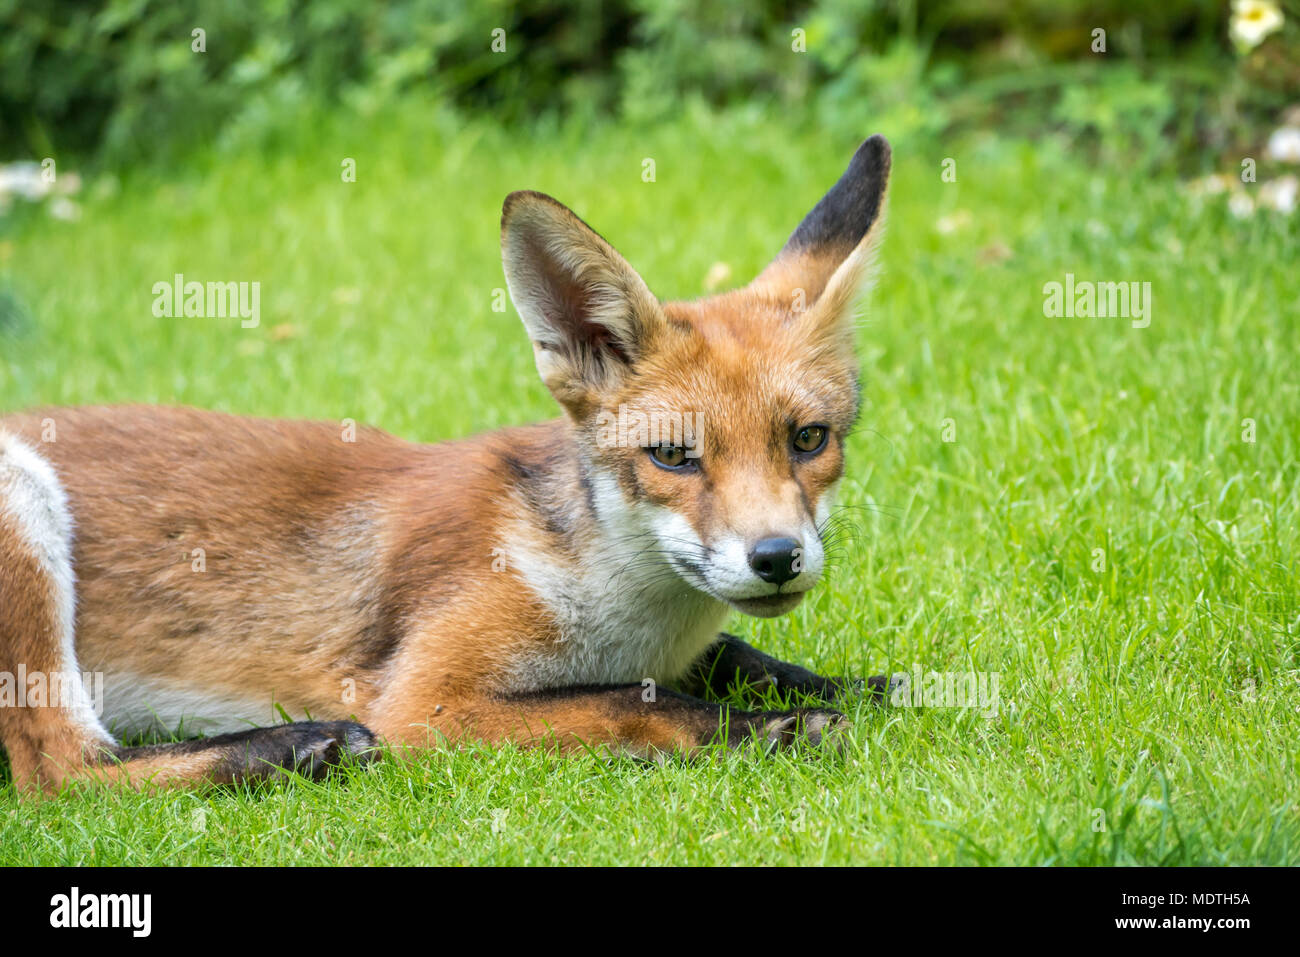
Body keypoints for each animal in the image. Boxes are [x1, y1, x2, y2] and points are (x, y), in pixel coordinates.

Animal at [0, 135, 892, 795]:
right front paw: (755, 728)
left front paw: (860, 688)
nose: (776, 557)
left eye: (807, 439)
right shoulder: (427, 702)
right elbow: (626, 701)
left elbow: (743, 656)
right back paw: (290, 746)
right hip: (25, 502)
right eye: (673, 455)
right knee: (60, 772)